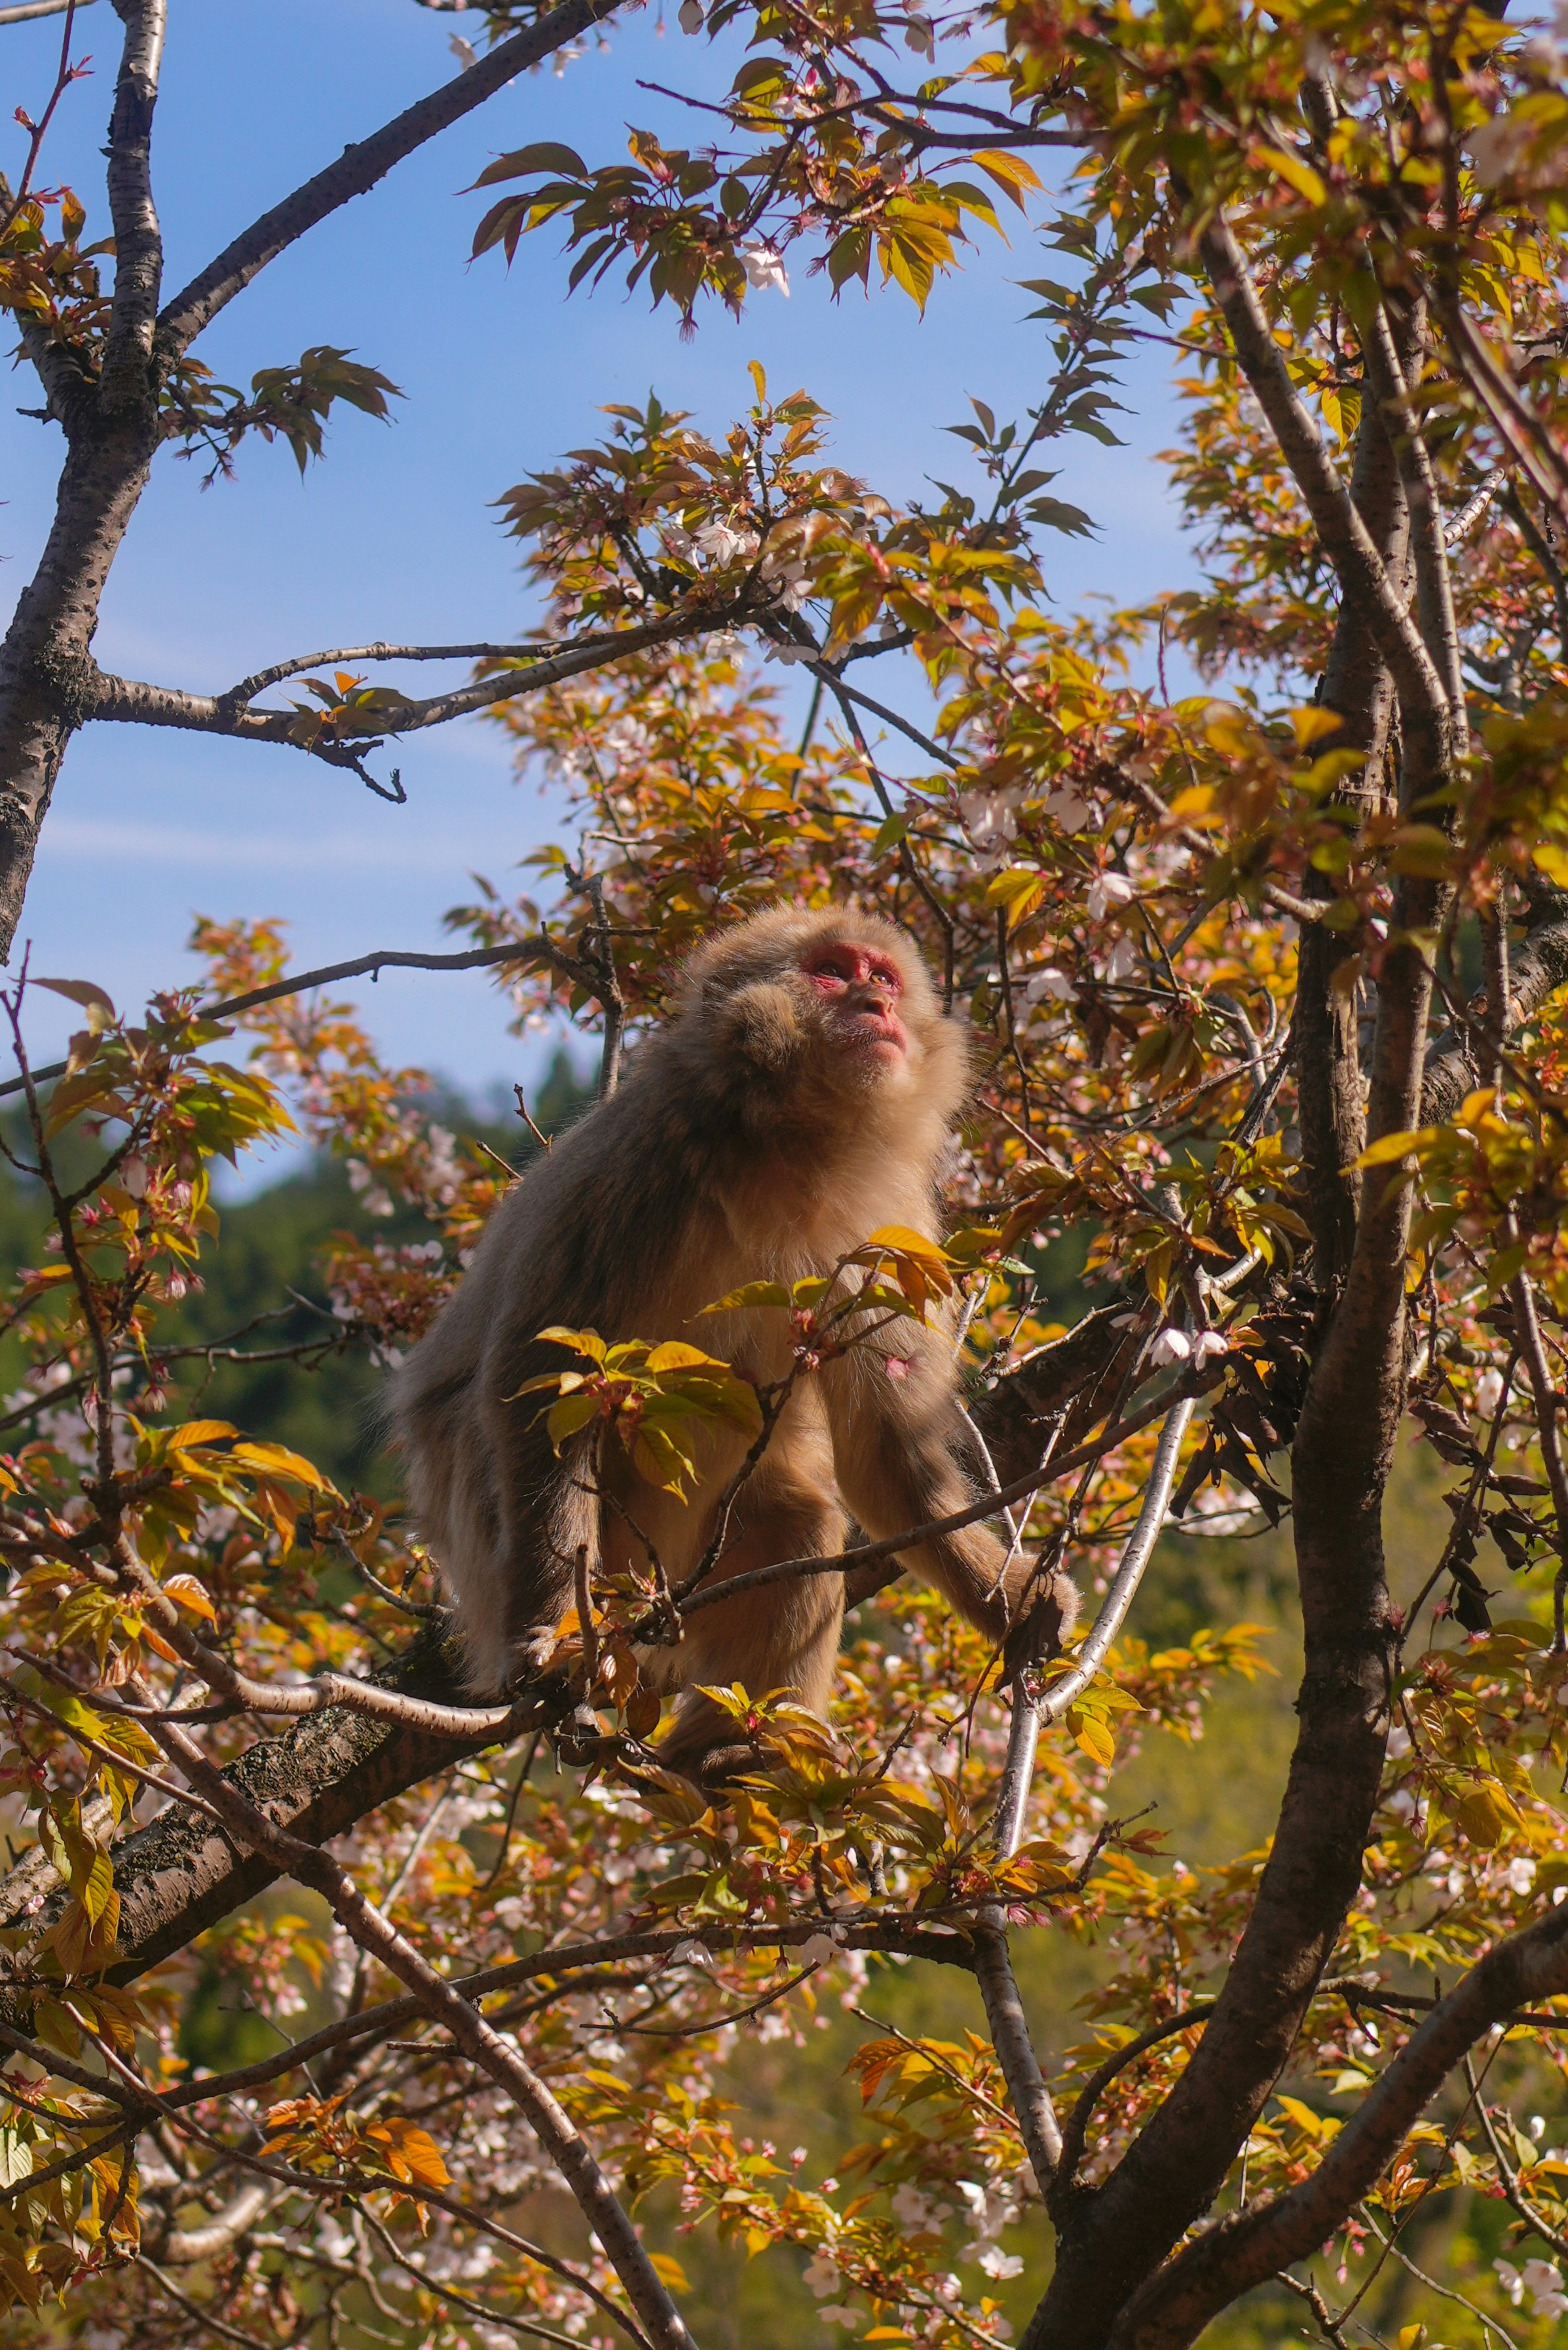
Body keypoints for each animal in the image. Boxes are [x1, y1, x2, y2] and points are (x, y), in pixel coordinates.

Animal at [389, 902, 1057, 1780]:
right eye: (833, 971)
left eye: (883, 976)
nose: (877, 1005)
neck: (794, 1145)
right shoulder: (639, 1160)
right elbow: (543, 1374)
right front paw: (551, 1634)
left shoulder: (888, 1230)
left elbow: (887, 1458)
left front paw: (1009, 1596)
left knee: (802, 1523)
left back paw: (726, 1746)